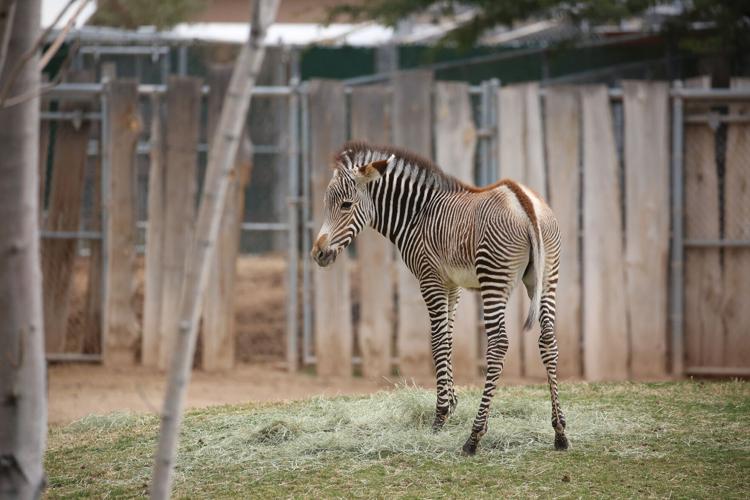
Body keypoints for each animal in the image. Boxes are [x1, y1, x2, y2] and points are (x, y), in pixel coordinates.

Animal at [310, 140, 568, 455]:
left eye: (346, 205)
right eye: (327, 204)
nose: (318, 254)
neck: (416, 215)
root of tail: (523, 201)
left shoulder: (430, 278)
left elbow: (436, 341)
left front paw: (440, 415)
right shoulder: (452, 284)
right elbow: (448, 338)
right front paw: (452, 403)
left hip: (494, 278)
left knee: (498, 344)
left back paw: (474, 437)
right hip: (547, 278)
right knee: (548, 341)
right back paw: (559, 432)